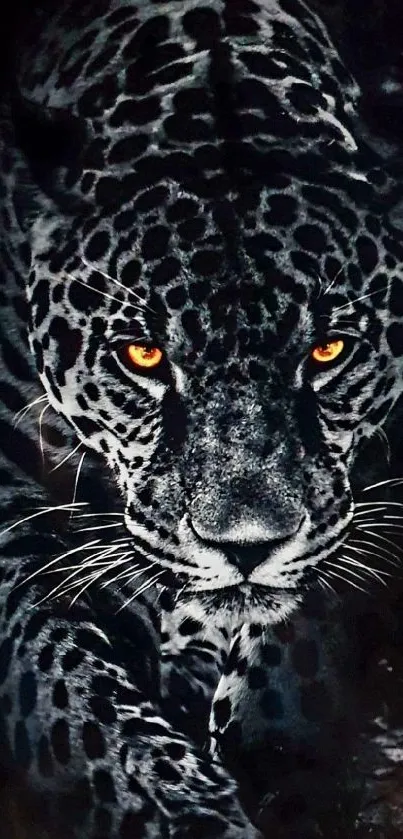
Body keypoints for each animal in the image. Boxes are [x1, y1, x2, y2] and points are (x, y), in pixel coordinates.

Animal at [1, 0, 403, 837]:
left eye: (327, 349)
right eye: (143, 355)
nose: (244, 547)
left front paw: (281, 746)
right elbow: (64, 675)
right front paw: (175, 802)